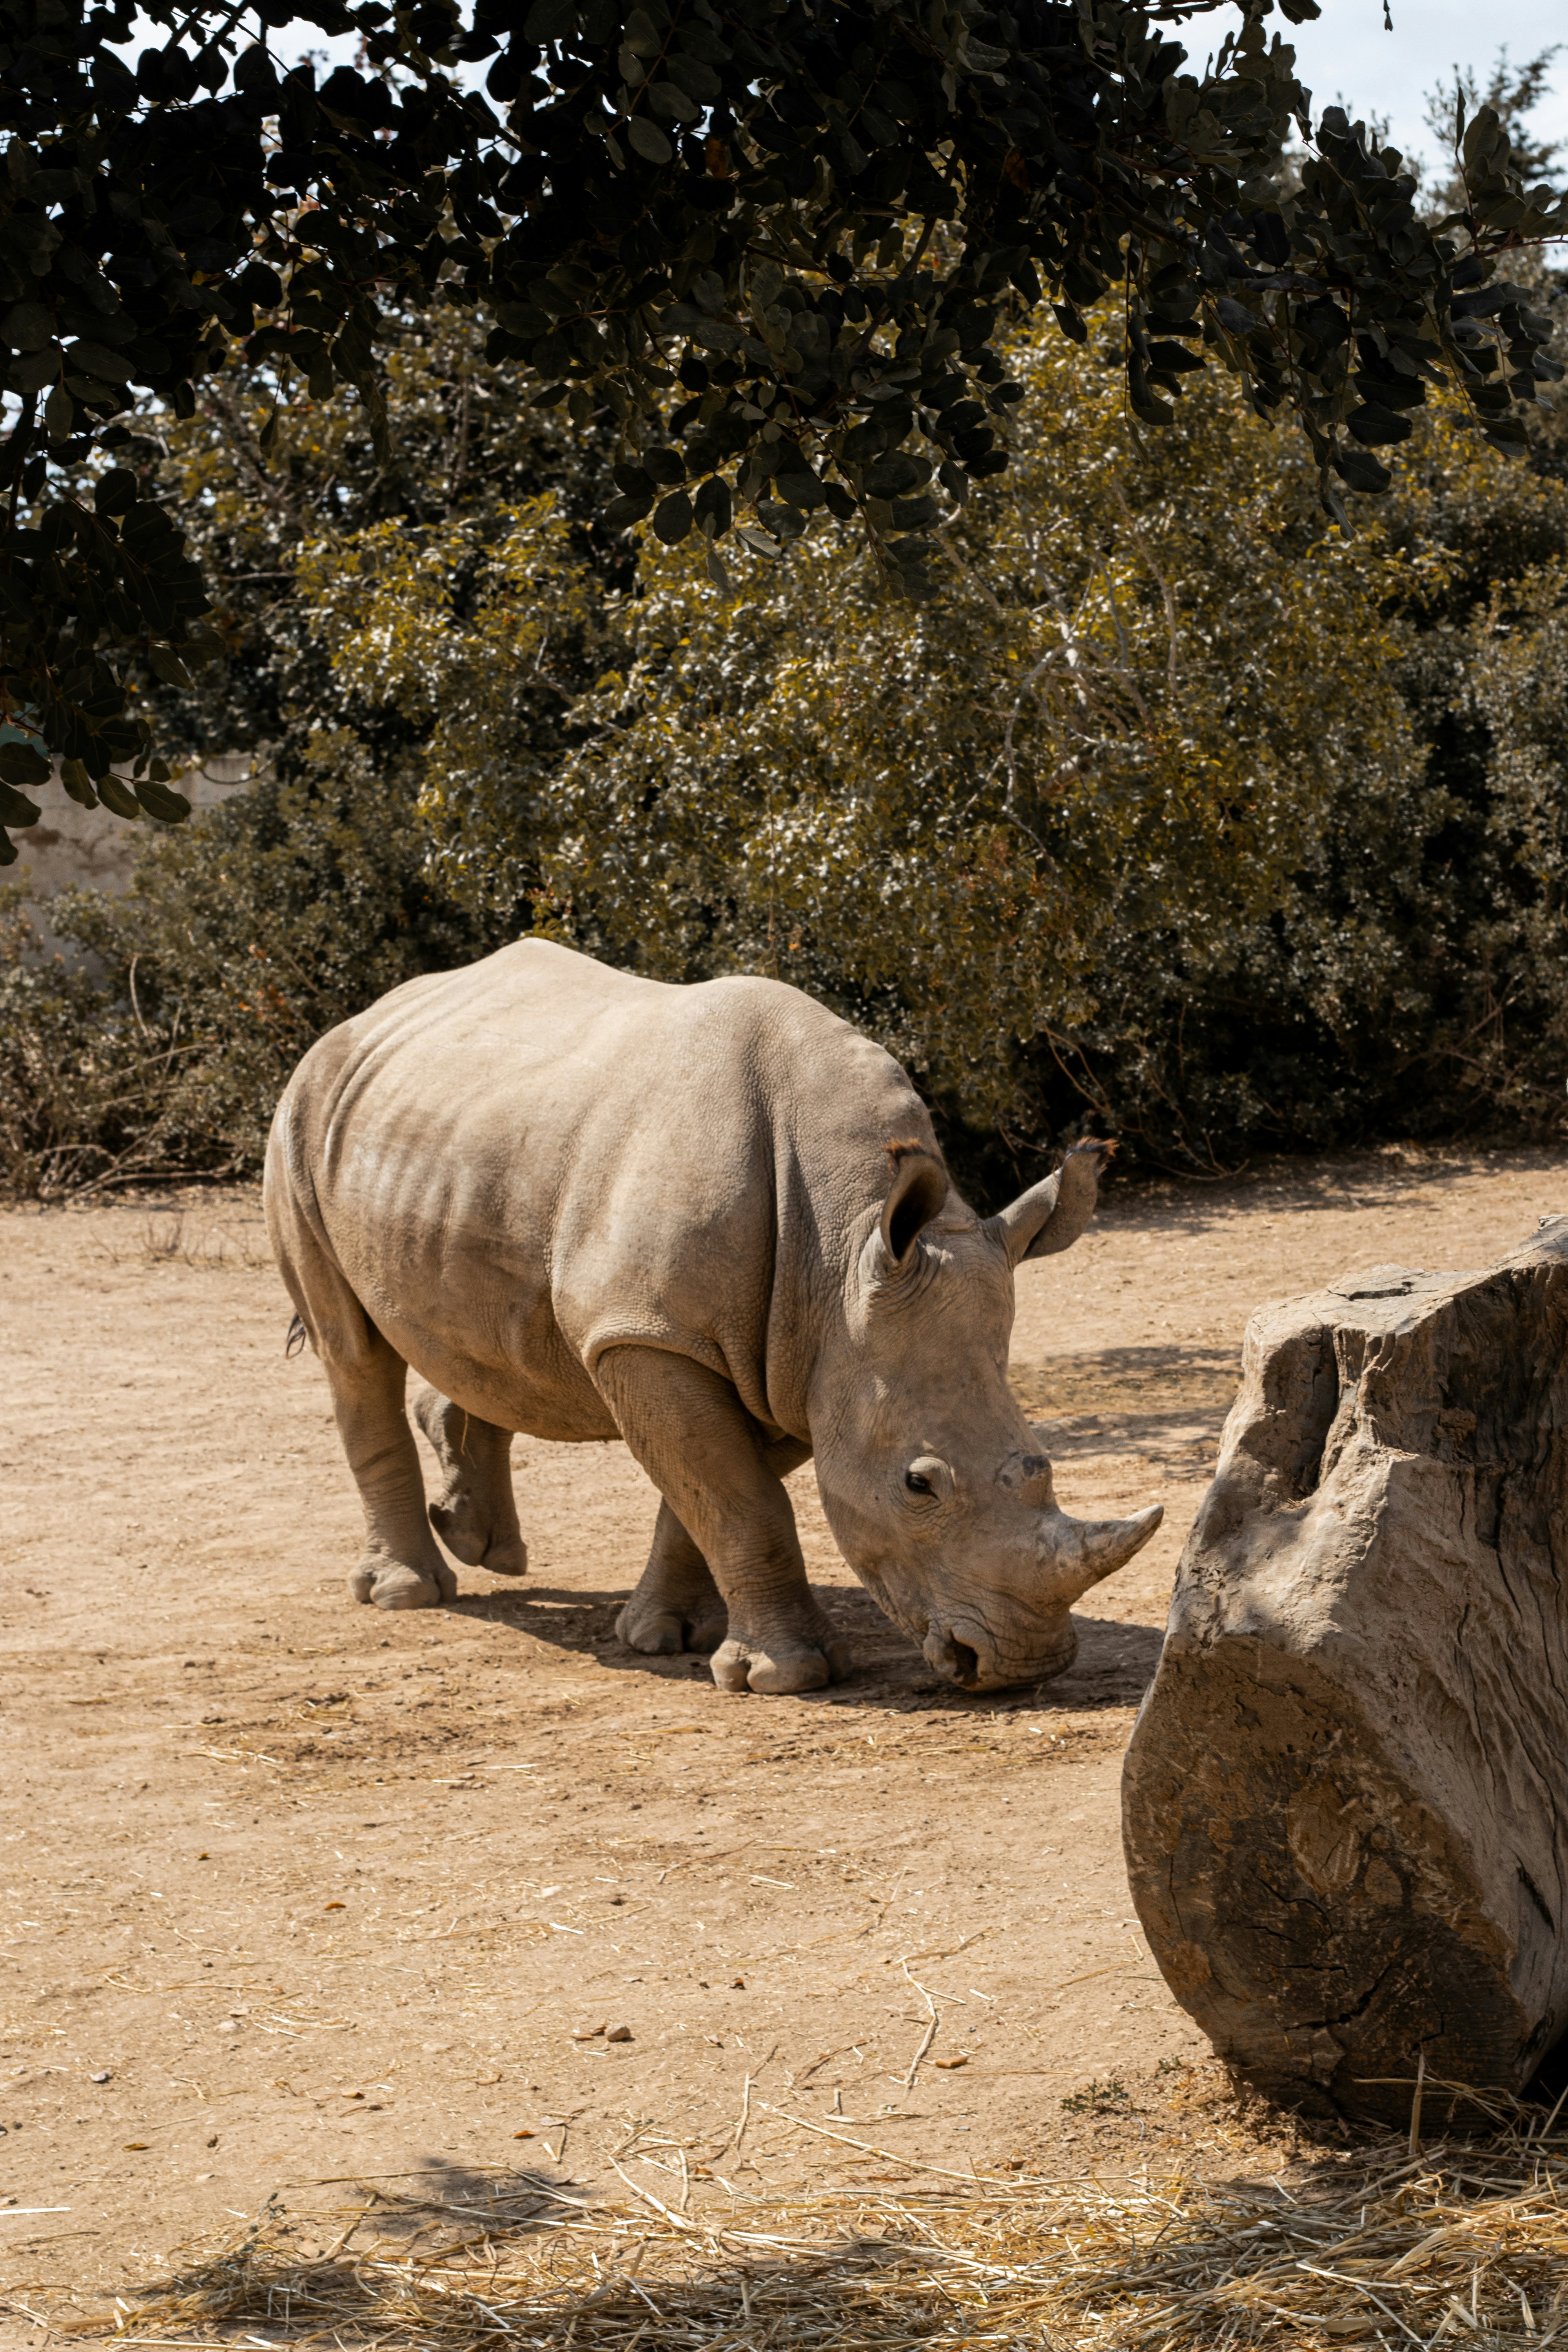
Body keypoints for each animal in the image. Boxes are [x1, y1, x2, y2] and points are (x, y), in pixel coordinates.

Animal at [264, 940, 1160, 1694]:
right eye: (918, 1485)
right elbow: (740, 1500)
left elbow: (705, 1494)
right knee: (353, 1351)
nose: (1022, 1663)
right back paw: (407, 1593)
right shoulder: (658, 1336)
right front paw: (785, 1677)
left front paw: (668, 1637)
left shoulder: (792, 1353)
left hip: (458, 1141)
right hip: (302, 1116)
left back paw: (487, 1545)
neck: (839, 1247)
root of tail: (367, 1016)